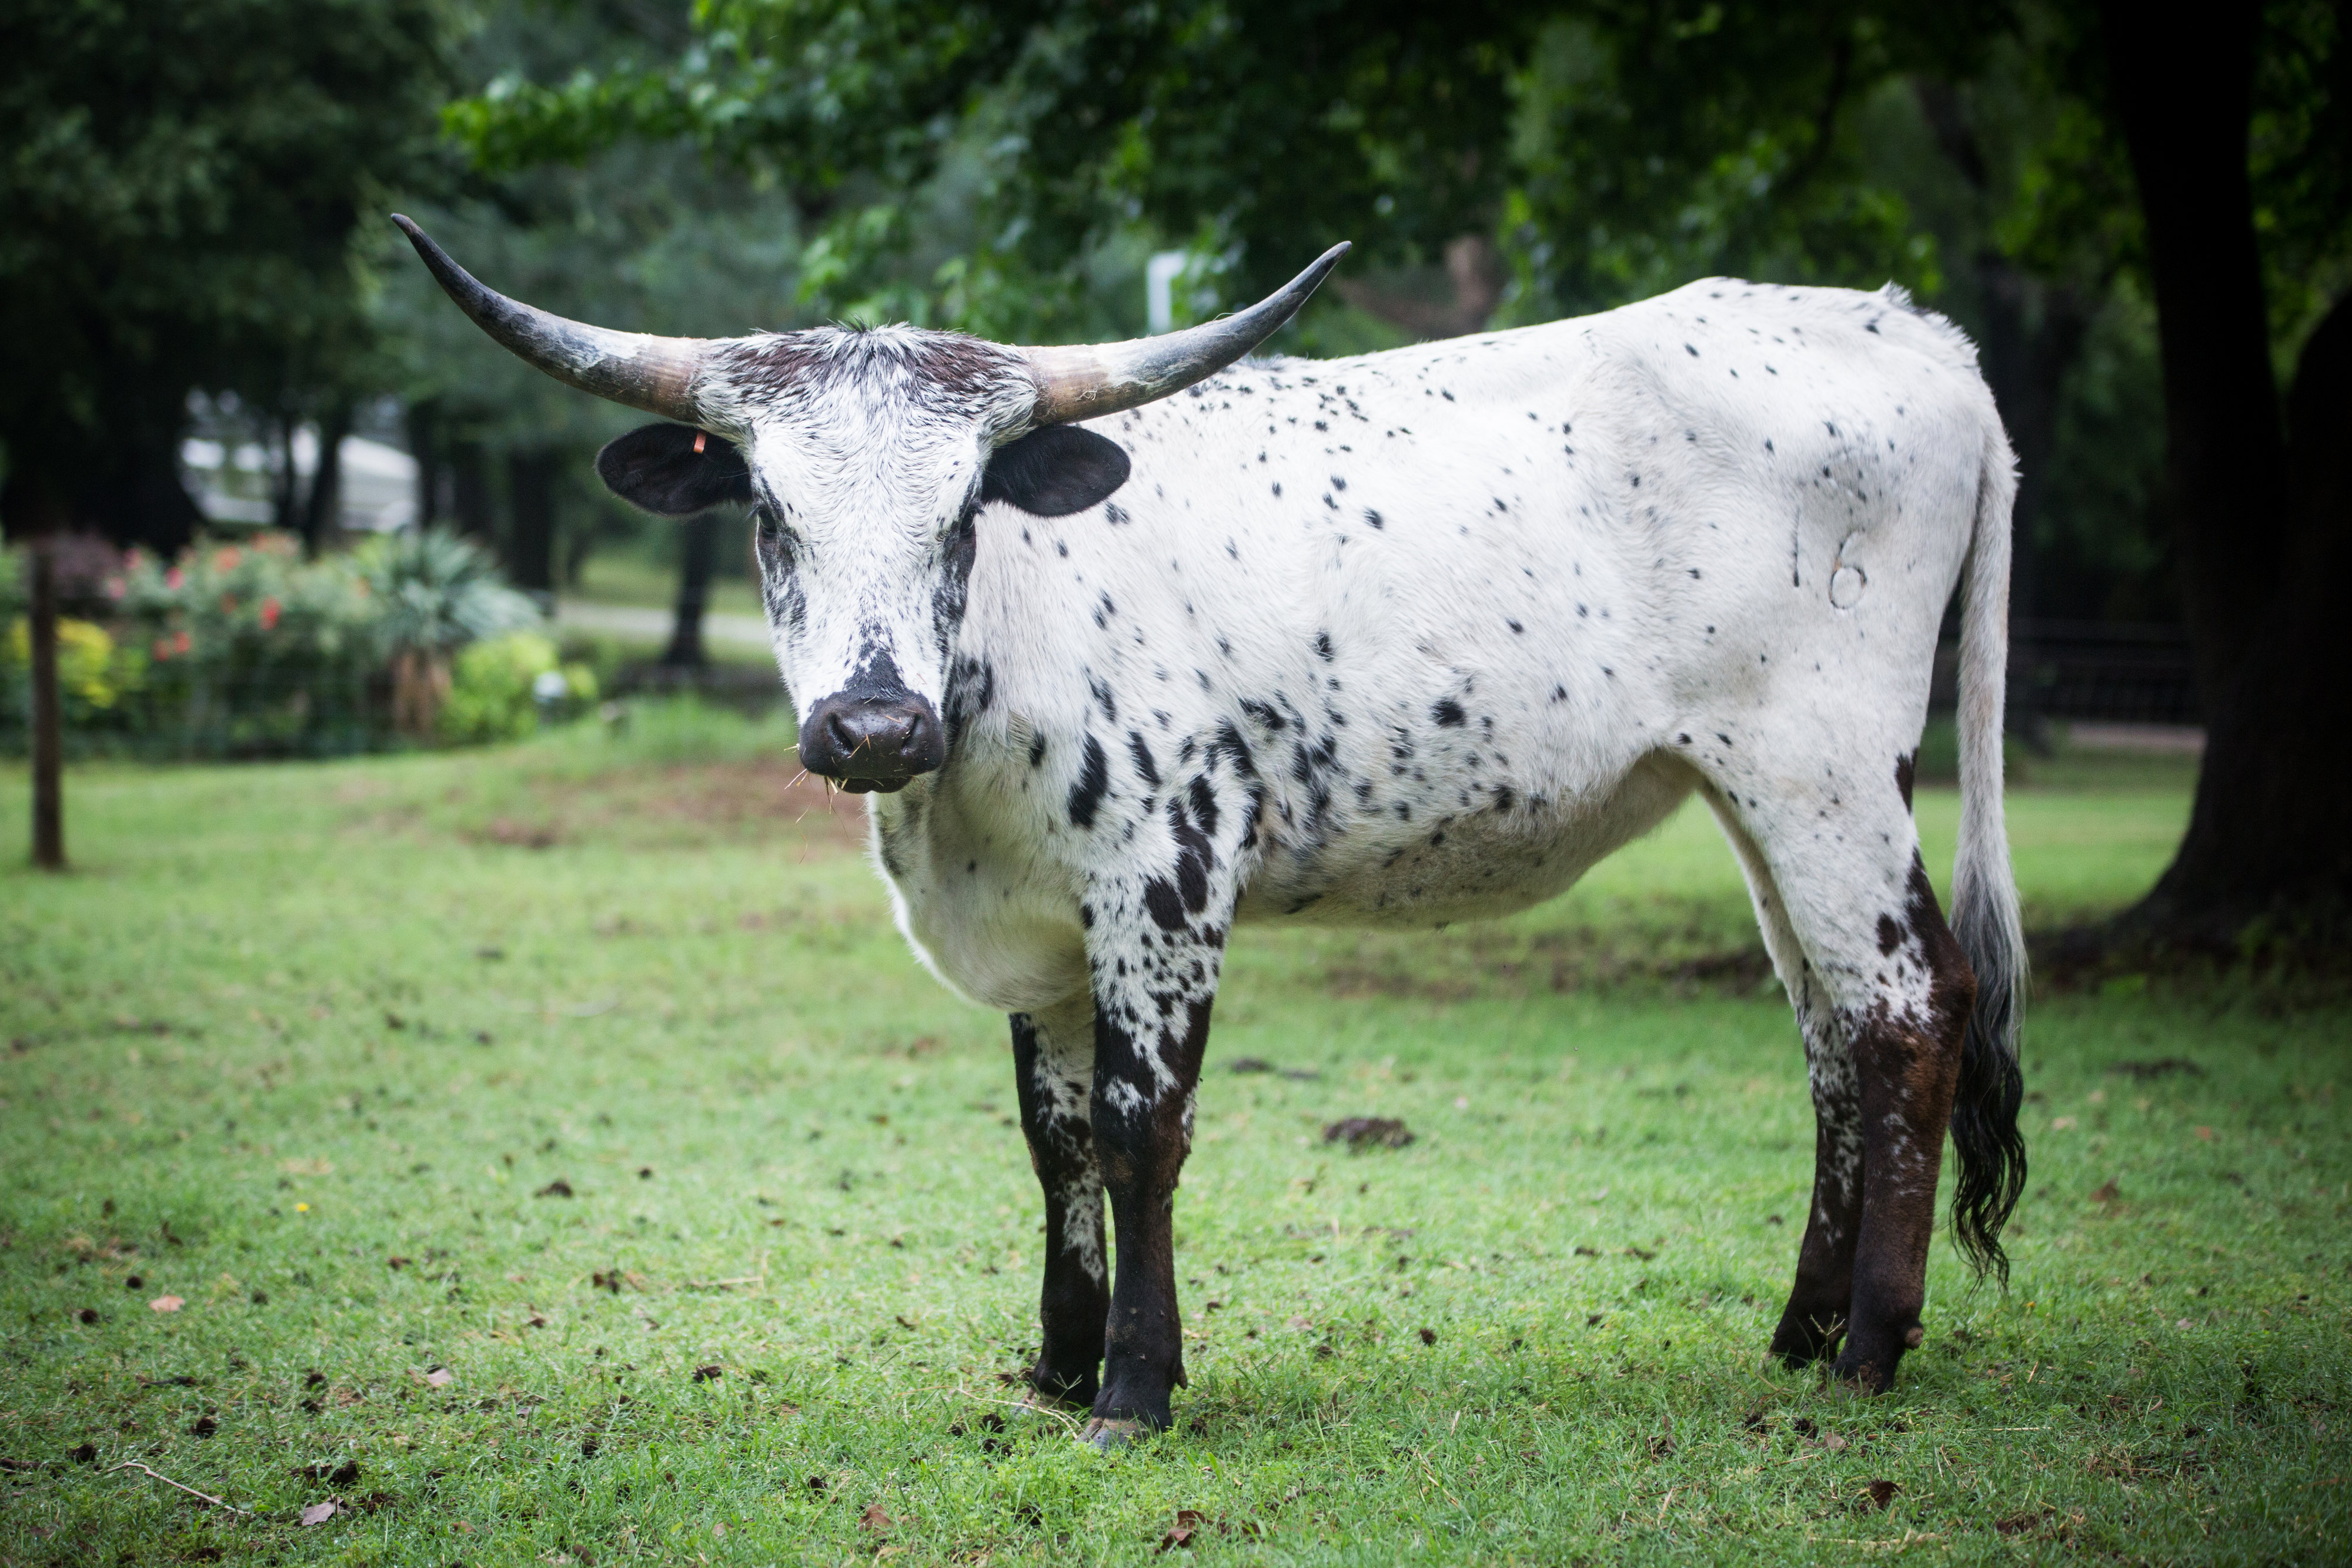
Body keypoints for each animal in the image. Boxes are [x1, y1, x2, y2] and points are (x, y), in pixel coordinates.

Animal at [395, 214, 2027, 1448]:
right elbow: (1051, 1137)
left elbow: (1136, 1129)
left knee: (1906, 1010)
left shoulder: (1162, 881)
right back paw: (1797, 1331)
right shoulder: (1044, 925)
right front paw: (1055, 1365)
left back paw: (1870, 1349)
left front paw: (1132, 1384)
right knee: (1827, 1035)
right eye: (769, 514)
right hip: (1752, 799)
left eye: (964, 511)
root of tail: (1914, 336)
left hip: (1821, 771)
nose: (870, 728)